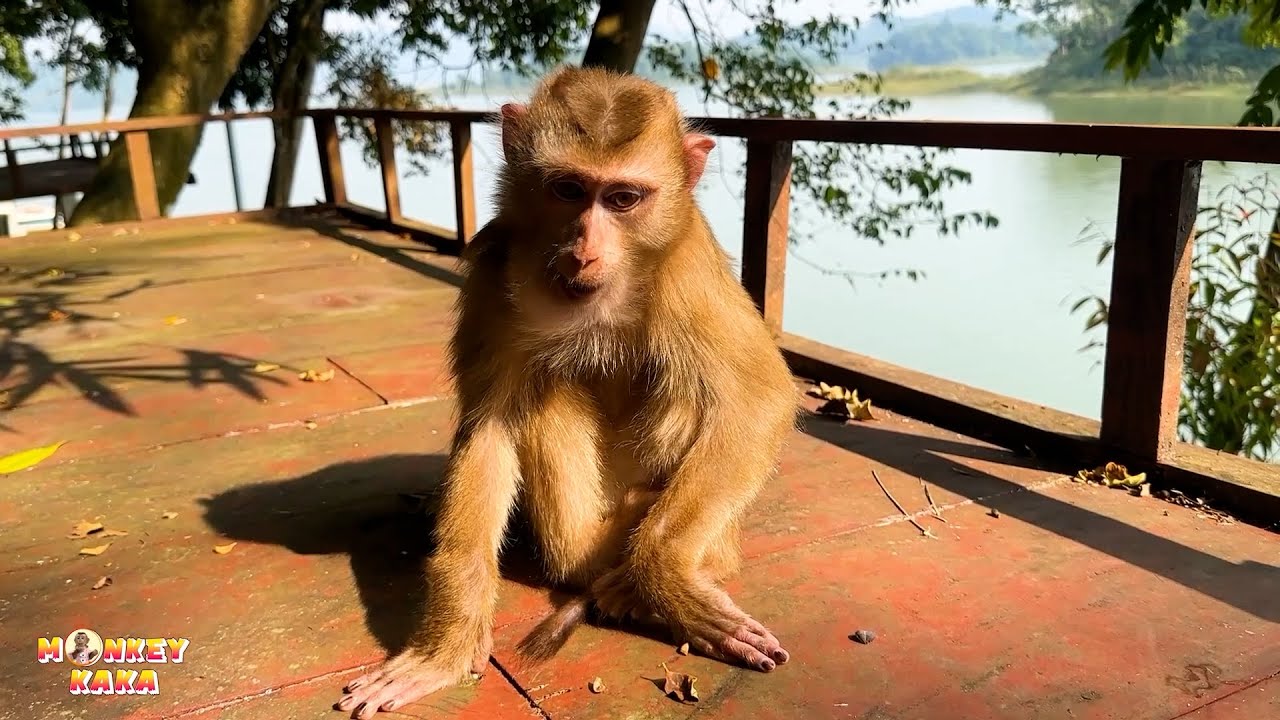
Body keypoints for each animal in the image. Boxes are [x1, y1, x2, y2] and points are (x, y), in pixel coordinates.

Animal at [336, 65, 799, 719]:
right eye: (568, 190)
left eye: (623, 199)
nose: (586, 249)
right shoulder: (494, 267)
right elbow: (491, 425)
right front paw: (446, 645)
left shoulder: (685, 263)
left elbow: (756, 398)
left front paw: (666, 580)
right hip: (578, 533)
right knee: (543, 394)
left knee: (689, 390)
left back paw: (640, 582)